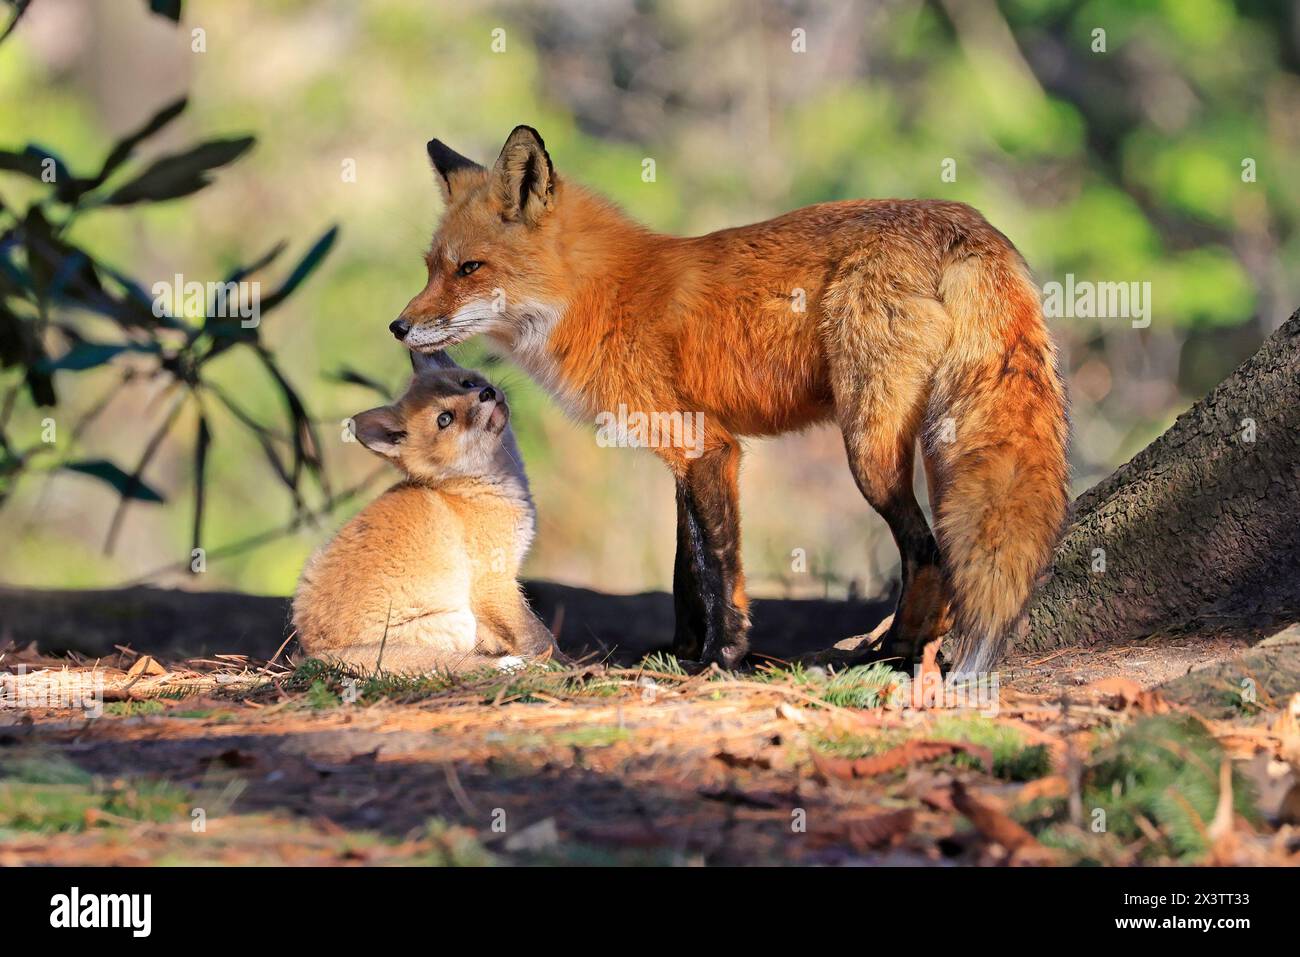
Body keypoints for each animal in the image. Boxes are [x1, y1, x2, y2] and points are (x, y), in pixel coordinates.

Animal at [292, 350, 560, 673]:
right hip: (458, 620)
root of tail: (318, 651)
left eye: (466, 383)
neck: (467, 490)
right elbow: (539, 637)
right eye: (444, 419)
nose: (486, 393)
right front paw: (561, 666)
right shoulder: (493, 582)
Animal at [388, 125, 1069, 676]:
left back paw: (892, 652)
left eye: (470, 269)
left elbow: (718, 565)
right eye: (429, 267)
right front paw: (680, 653)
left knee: (925, 550)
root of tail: (965, 223)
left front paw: (721, 657)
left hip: (869, 450)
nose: (398, 326)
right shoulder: (686, 453)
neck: (599, 297)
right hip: (938, 440)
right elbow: (684, 568)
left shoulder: (707, 447)